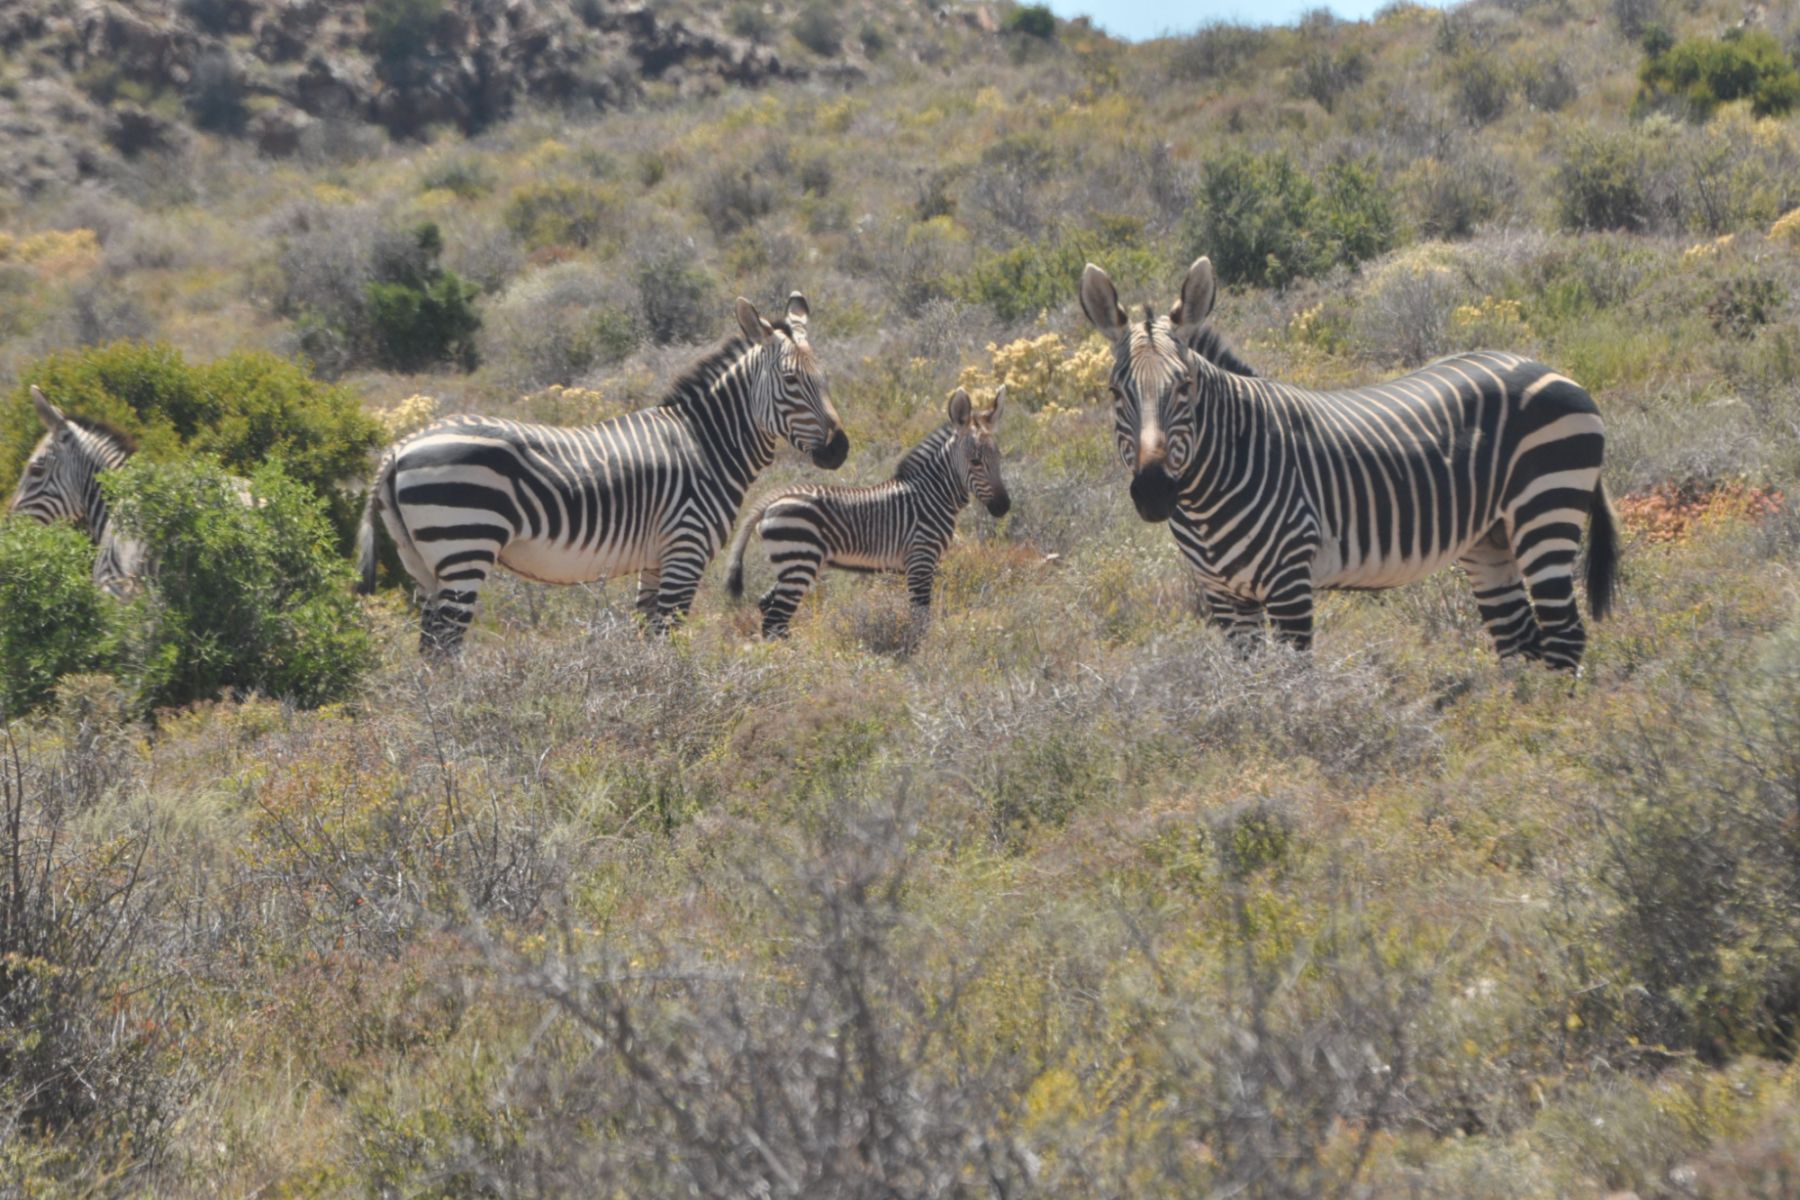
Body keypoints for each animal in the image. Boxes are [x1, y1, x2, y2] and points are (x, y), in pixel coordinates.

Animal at [358, 292, 850, 652]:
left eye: (826, 378)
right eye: (791, 381)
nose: (839, 450)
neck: (707, 444)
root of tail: (400, 447)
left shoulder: (656, 559)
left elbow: (648, 637)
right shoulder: (685, 550)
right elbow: (666, 640)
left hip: (423, 563)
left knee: (428, 645)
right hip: (464, 544)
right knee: (445, 646)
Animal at [723, 386, 1010, 639]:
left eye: (999, 458)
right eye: (975, 461)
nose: (1004, 506)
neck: (931, 495)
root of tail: (773, 500)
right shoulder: (921, 559)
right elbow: (920, 616)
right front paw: (924, 652)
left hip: (794, 564)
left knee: (767, 608)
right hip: (799, 561)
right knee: (775, 619)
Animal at [1079, 257, 1620, 670]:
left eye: (1185, 388)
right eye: (1115, 392)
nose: (1153, 492)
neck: (1206, 495)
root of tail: (1550, 369)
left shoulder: (1289, 580)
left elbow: (1293, 682)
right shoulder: (1223, 596)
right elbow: (1249, 683)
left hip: (1545, 509)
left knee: (1564, 635)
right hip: (1490, 538)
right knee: (1519, 640)